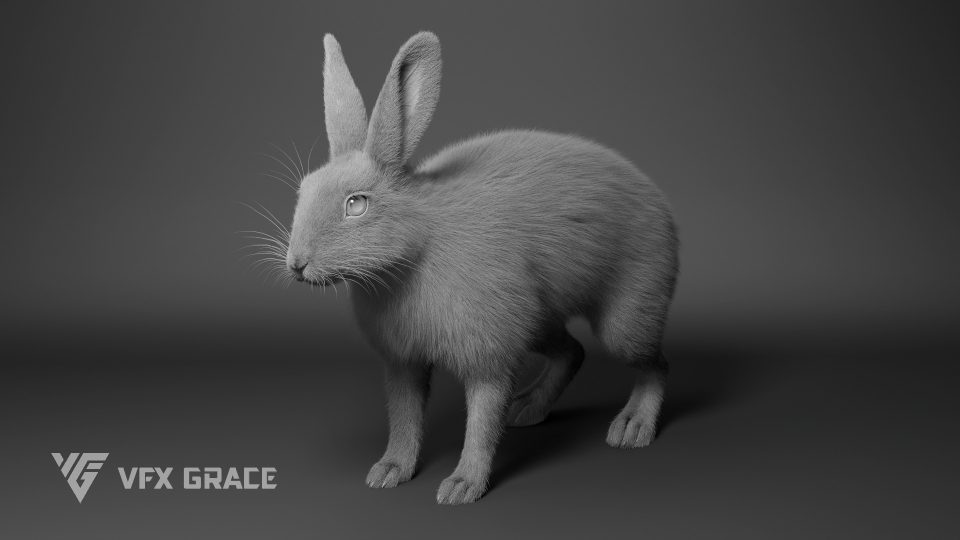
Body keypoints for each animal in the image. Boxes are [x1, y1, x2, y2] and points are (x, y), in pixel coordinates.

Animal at [283, 31, 678, 505]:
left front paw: (461, 487)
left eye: (356, 204)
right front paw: (388, 471)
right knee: (573, 351)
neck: (417, 249)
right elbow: (404, 419)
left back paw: (632, 427)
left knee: (655, 365)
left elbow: (482, 424)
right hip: (537, 321)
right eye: (305, 188)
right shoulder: (403, 363)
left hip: (626, 319)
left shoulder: (488, 358)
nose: (297, 263)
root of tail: (662, 207)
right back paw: (528, 409)